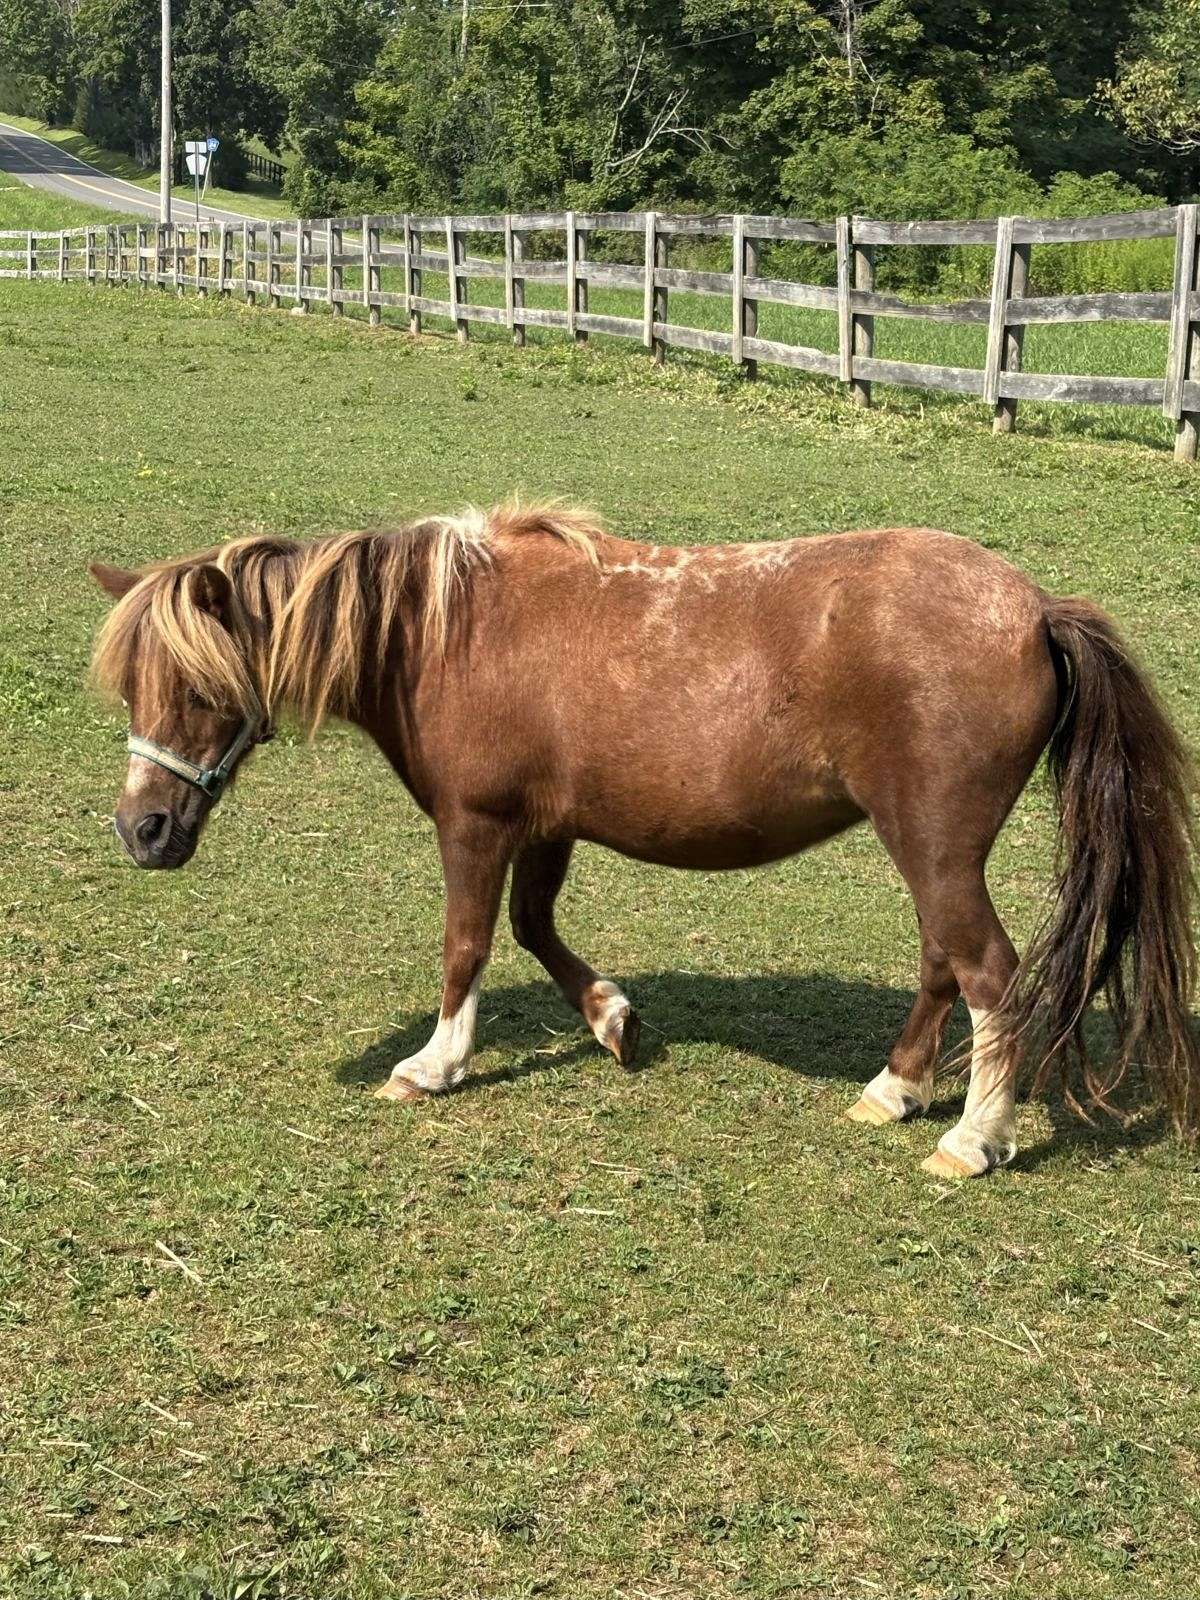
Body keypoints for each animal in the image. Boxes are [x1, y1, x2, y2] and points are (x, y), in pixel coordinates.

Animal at [89, 503, 1199, 1176]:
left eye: (199, 685)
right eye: (132, 683)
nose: (144, 830)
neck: (445, 634)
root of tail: (1035, 608)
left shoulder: (477, 825)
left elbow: (467, 945)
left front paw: (436, 1063)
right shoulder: (545, 826)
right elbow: (534, 928)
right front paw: (612, 1017)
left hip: (933, 843)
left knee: (988, 970)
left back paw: (975, 1135)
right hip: (930, 849)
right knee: (944, 962)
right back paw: (896, 1090)